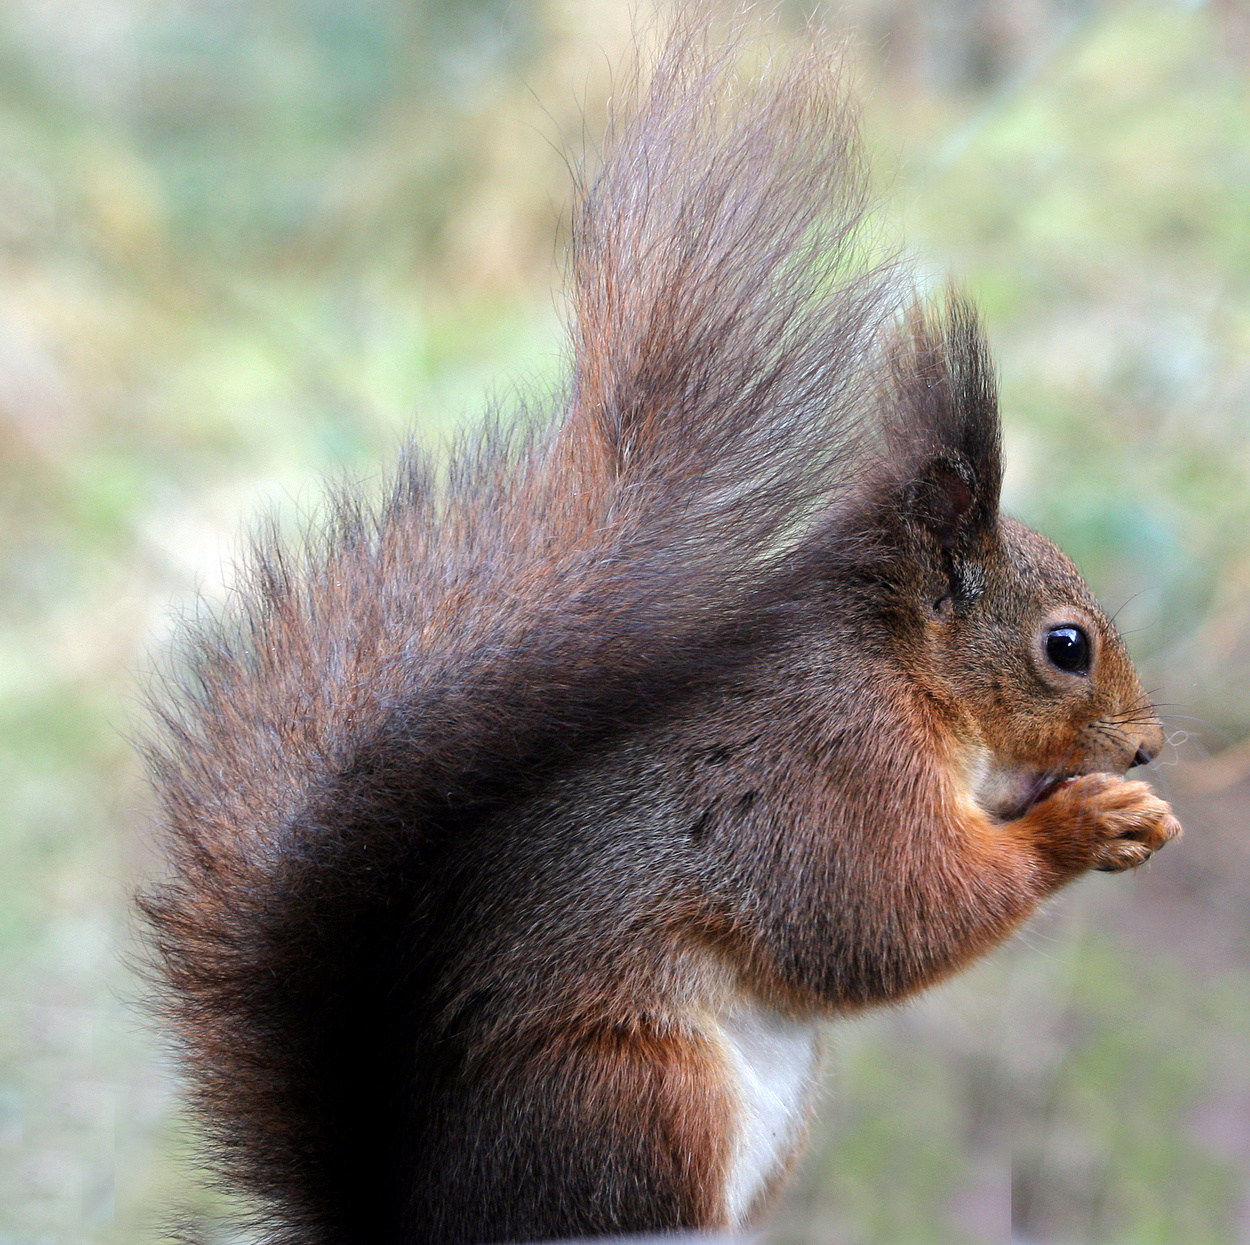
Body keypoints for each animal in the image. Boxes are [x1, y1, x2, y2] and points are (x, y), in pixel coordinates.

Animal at [139, 19, 1182, 1245]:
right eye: (1065, 647)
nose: (1146, 746)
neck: (906, 675)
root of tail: (428, 1214)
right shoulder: (827, 772)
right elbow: (886, 914)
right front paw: (1085, 824)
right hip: (639, 1088)